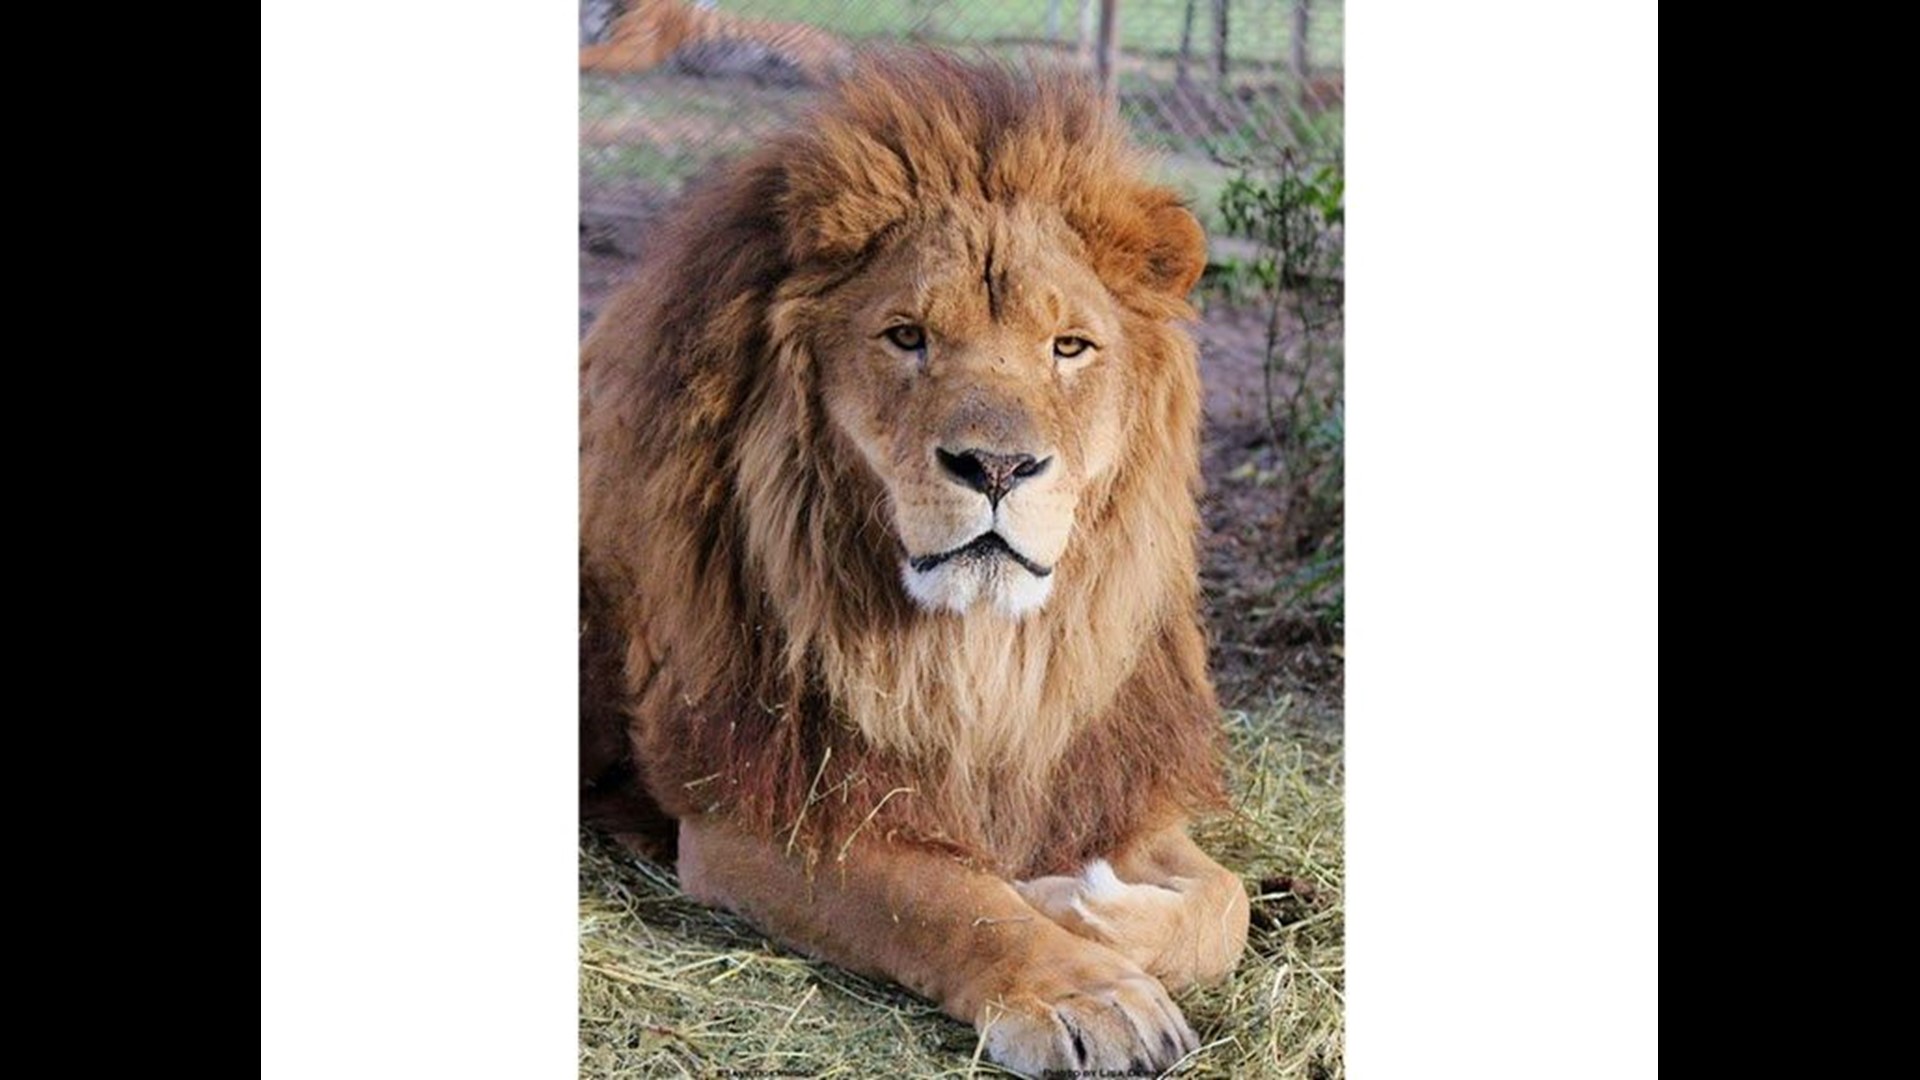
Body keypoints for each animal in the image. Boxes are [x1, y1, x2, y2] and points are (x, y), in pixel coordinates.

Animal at [579, 52, 1249, 1075]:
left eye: (1069, 347)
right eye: (907, 336)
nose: (997, 467)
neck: (983, 659)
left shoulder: (1086, 780)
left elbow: (1226, 906)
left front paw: (1080, 901)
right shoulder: (757, 810)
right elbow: (947, 899)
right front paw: (1087, 988)